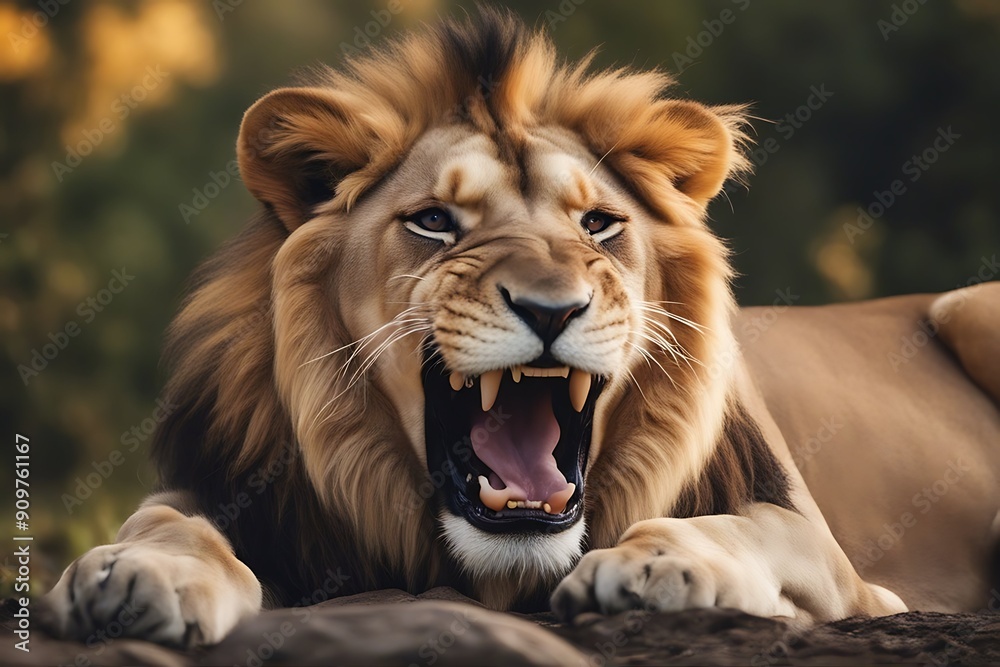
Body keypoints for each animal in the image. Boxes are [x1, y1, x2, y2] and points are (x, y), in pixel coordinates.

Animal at [41, 7, 1000, 647]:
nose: (552, 308)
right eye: (434, 222)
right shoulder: (228, 482)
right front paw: (138, 573)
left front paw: (650, 564)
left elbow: (732, 528)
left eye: (599, 225)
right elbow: (168, 521)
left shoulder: (835, 561)